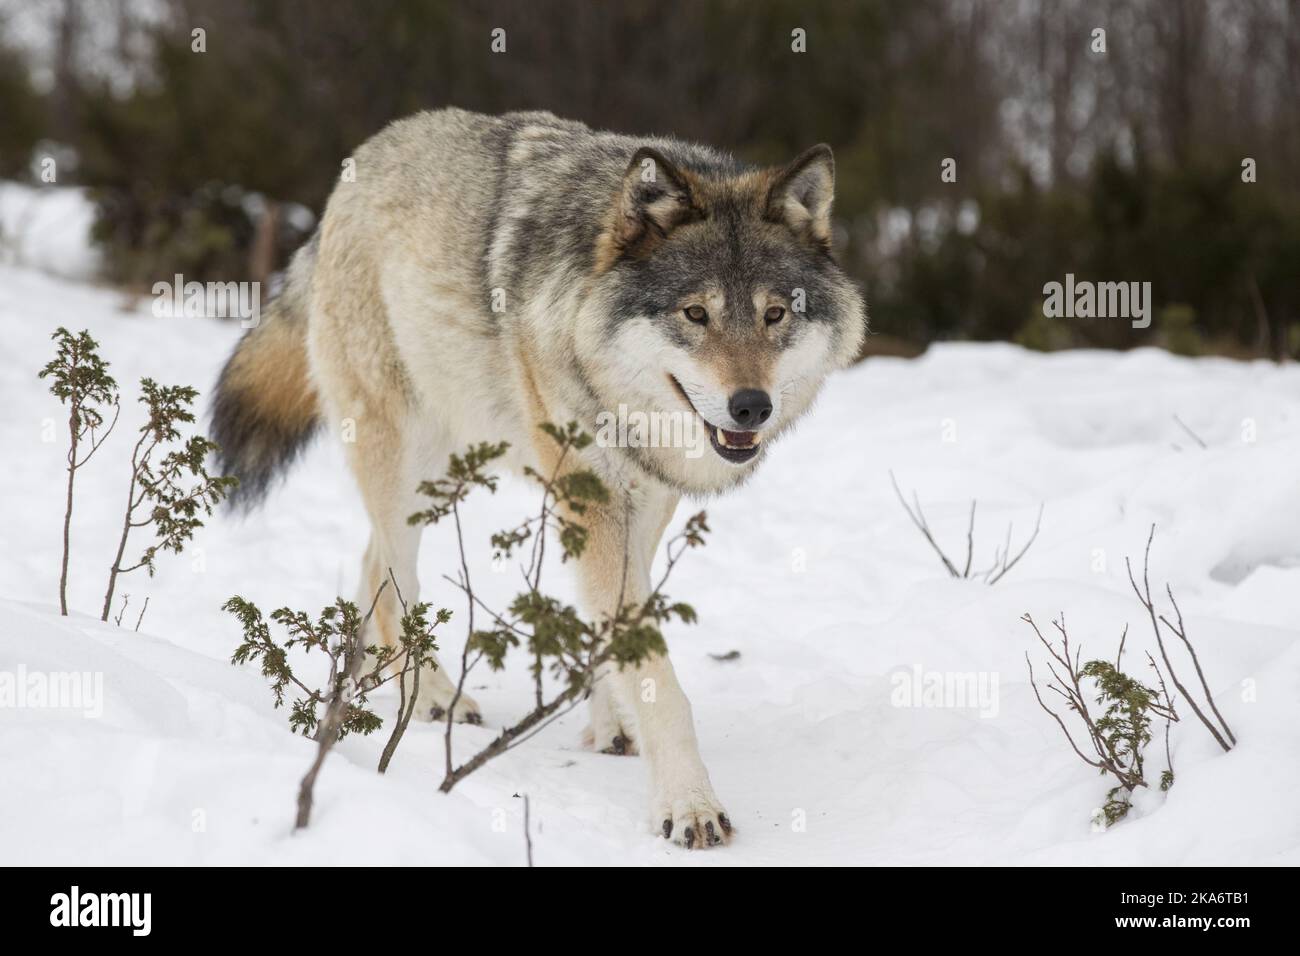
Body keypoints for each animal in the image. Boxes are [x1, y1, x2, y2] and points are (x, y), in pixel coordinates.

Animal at [212, 108, 865, 848]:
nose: (751, 407)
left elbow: (617, 631)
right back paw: (429, 696)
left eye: (775, 314)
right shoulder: (593, 497)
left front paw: (613, 725)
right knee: (394, 576)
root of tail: (362, 161)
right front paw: (690, 805)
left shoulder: (644, 500)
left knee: (371, 561)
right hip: (406, 457)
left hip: (448, 468)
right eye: (696, 314)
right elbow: (657, 676)